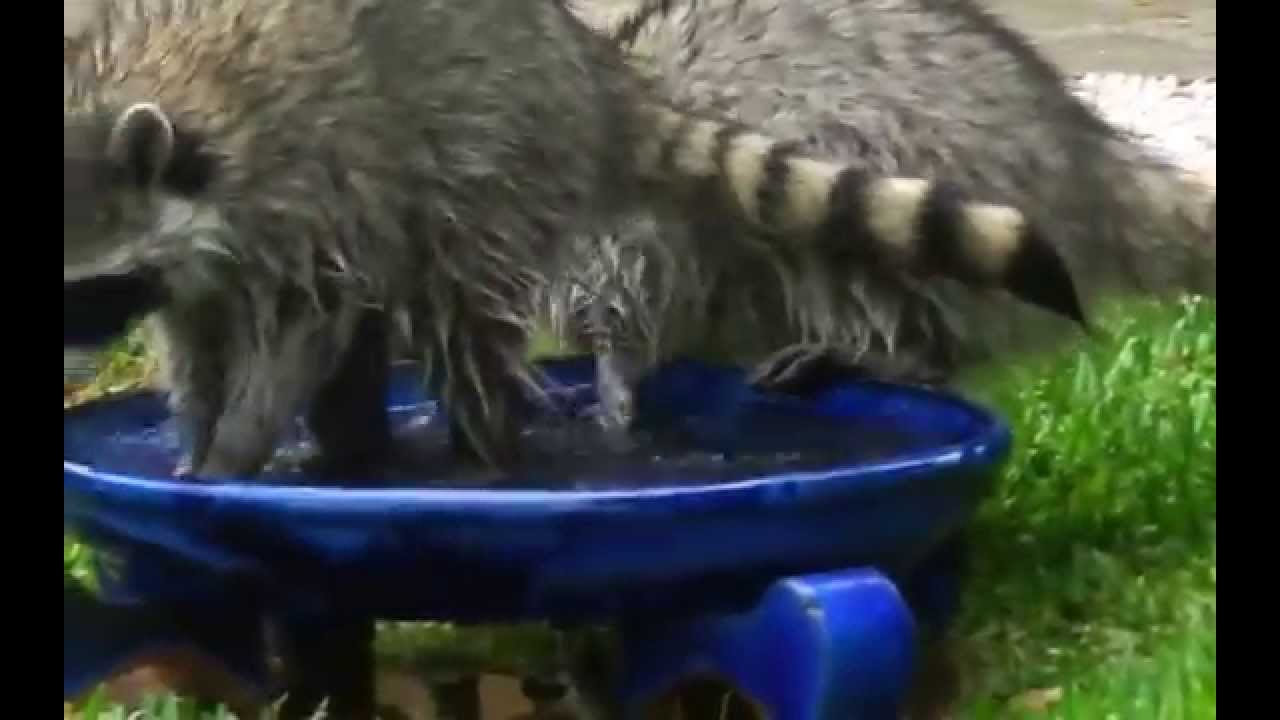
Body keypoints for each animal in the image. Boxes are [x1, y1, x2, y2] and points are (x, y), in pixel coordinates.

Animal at [64, 0, 1083, 479]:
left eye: (85, 290)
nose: (70, 354)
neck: (113, 95)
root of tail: (593, 76)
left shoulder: (298, 179)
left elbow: (304, 321)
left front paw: (230, 457)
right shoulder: (196, 258)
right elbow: (198, 338)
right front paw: (193, 440)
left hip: (485, 145)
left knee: (459, 318)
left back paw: (484, 458)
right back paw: (355, 451)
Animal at [553, 0, 1216, 429]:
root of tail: (1087, 162)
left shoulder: (633, 204)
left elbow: (634, 282)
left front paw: (615, 369)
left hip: (902, 170)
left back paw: (897, 352)